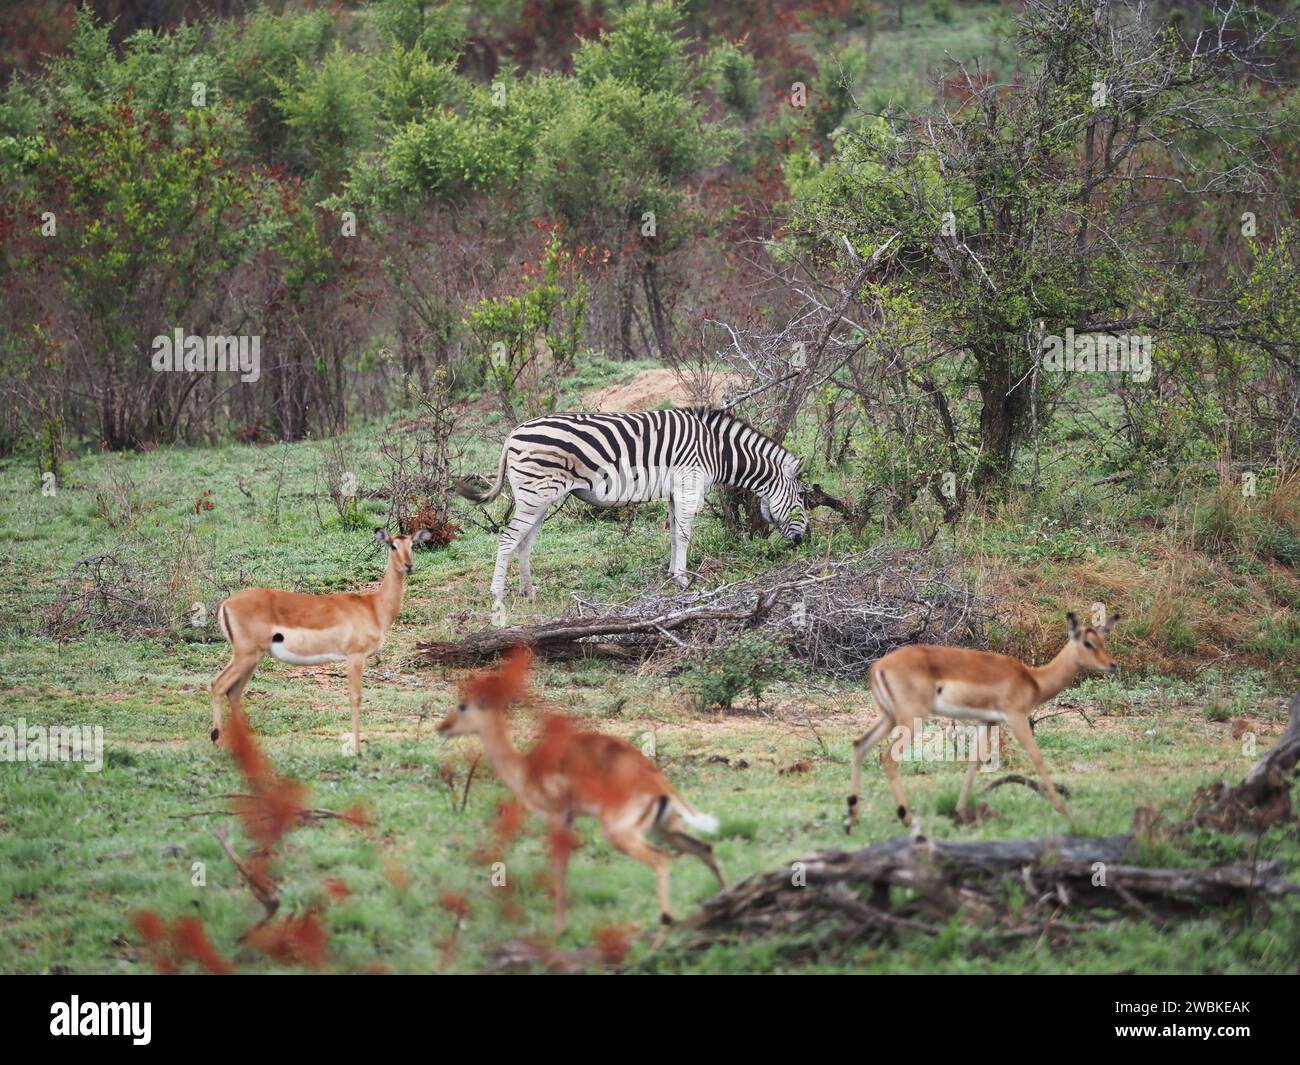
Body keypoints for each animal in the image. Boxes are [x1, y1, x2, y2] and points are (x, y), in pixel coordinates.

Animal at [210, 528, 433, 755]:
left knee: (233, 693)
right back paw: (218, 742)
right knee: (218, 685)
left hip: (251, 658)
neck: (374, 607)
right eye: (392, 545)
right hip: (246, 655)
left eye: (413, 545)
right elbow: (355, 697)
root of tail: (226, 604)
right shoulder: (355, 656)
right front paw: (357, 749)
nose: (409, 566)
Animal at [438, 647, 726, 930]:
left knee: (662, 860)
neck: (525, 767)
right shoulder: (569, 818)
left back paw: (667, 922)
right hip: (664, 828)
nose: (442, 728)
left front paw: (559, 927)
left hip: (622, 834)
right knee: (705, 848)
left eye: (463, 706)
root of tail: (656, 781)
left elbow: (557, 863)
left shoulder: (556, 815)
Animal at [456, 408, 809, 611]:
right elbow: (684, 535)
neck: (716, 450)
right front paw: (683, 580)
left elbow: (674, 535)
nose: (802, 542)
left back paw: (529, 593)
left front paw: (671, 575)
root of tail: (514, 432)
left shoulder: (675, 491)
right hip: (535, 495)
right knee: (507, 541)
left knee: (524, 543)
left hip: (538, 497)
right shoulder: (689, 485)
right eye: (802, 500)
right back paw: (497, 596)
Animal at [847, 611, 1121, 827]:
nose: (1113, 665)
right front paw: (1065, 813)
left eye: (1103, 640)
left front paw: (960, 813)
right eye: (1088, 643)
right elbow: (1037, 757)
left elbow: (974, 761)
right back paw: (907, 819)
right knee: (888, 758)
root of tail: (878, 667)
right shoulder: (1016, 717)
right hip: (911, 718)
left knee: (860, 745)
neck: (1033, 679)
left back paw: (853, 819)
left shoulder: (987, 722)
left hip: (889, 718)